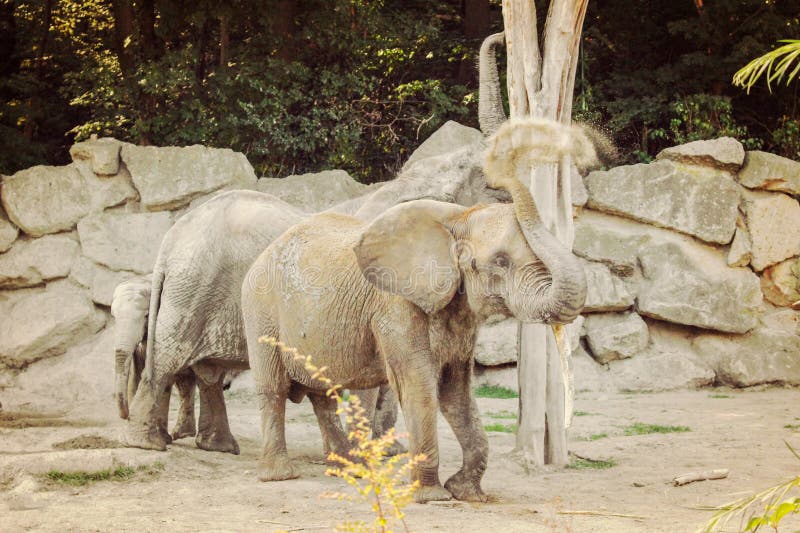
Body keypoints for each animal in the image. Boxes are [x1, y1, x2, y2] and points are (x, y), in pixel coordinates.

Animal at [240, 117, 603, 503]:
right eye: (500, 262)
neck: (457, 221)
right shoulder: (395, 306)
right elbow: (419, 384)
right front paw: (432, 497)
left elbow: (456, 391)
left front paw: (467, 493)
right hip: (259, 307)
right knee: (273, 387)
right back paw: (280, 475)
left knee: (321, 392)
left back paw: (348, 472)